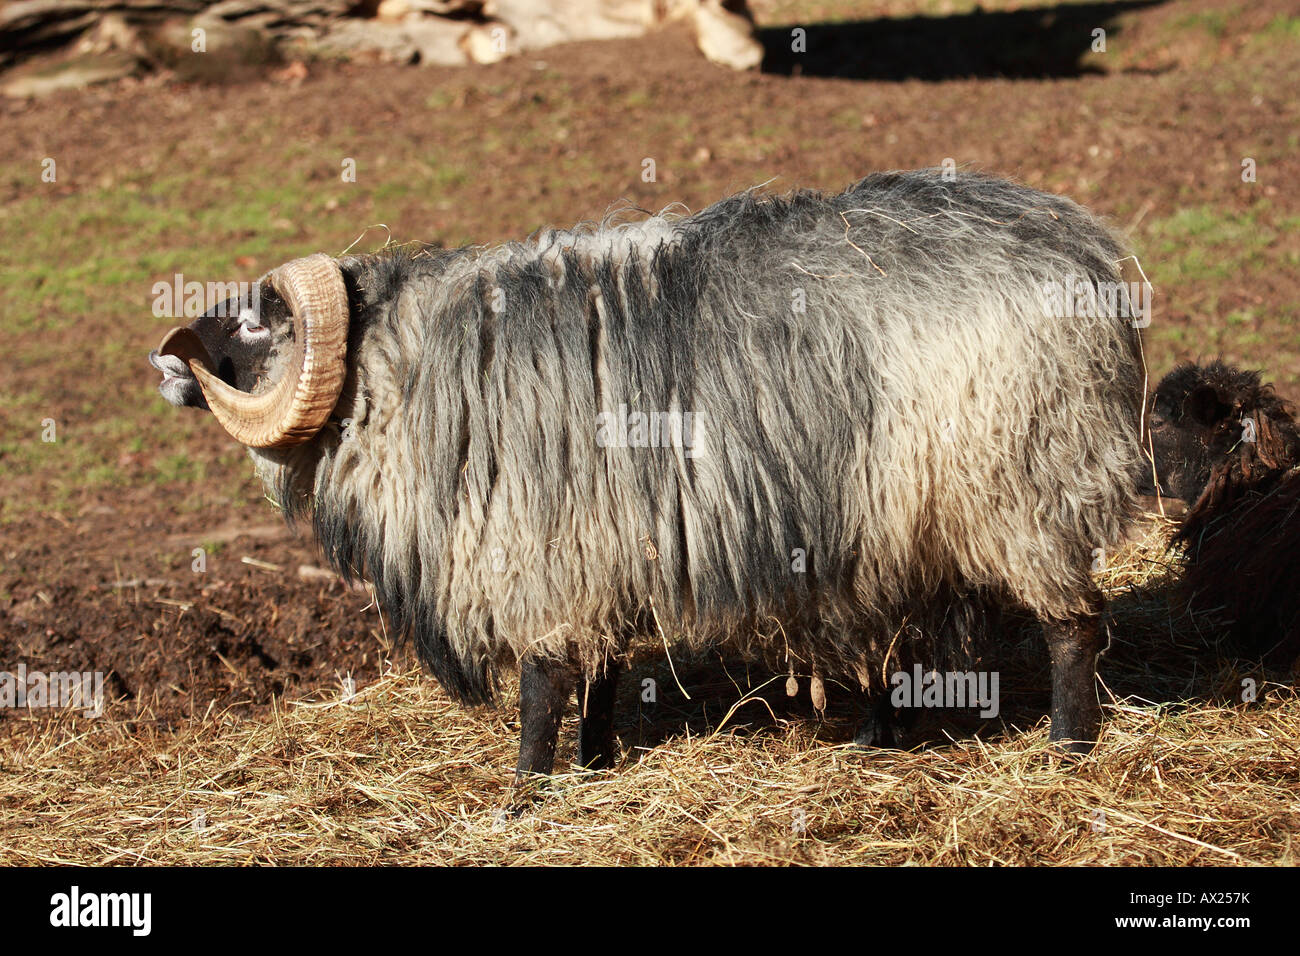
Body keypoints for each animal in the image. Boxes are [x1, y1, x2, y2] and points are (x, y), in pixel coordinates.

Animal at [149, 168, 1146, 780]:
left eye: (258, 322)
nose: (165, 355)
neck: (399, 378)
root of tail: (1082, 251)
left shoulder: (539, 554)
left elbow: (542, 688)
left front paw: (525, 794)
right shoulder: (599, 550)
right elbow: (597, 680)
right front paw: (594, 767)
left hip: (1027, 483)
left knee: (1074, 626)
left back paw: (1069, 750)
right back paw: (872, 741)